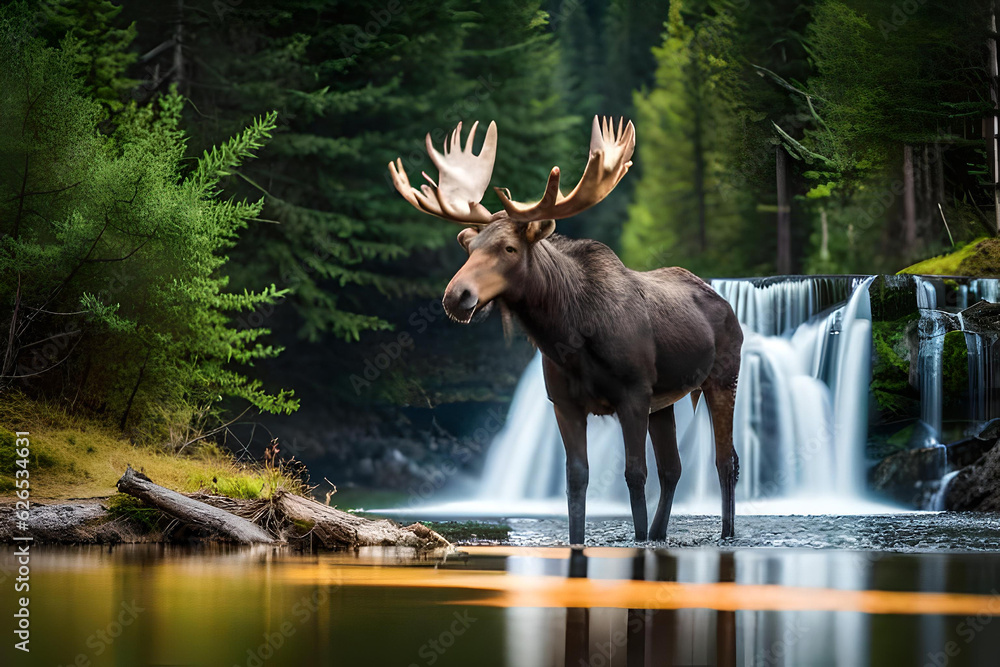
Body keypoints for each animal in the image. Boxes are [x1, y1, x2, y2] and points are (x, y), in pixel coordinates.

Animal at [388, 116, 743, 544]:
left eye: (509, 248)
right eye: (470, 250)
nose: (456, 295)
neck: (570, 337)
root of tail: (727, 304)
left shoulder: (634, 394)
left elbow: (634, 475)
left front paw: (638, 539)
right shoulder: (564, 403)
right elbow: (576, 479)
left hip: (722, 378)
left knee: (725, 461)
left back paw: (725, 533)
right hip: (666, 401)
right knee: (673, 468)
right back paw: (659, 533)